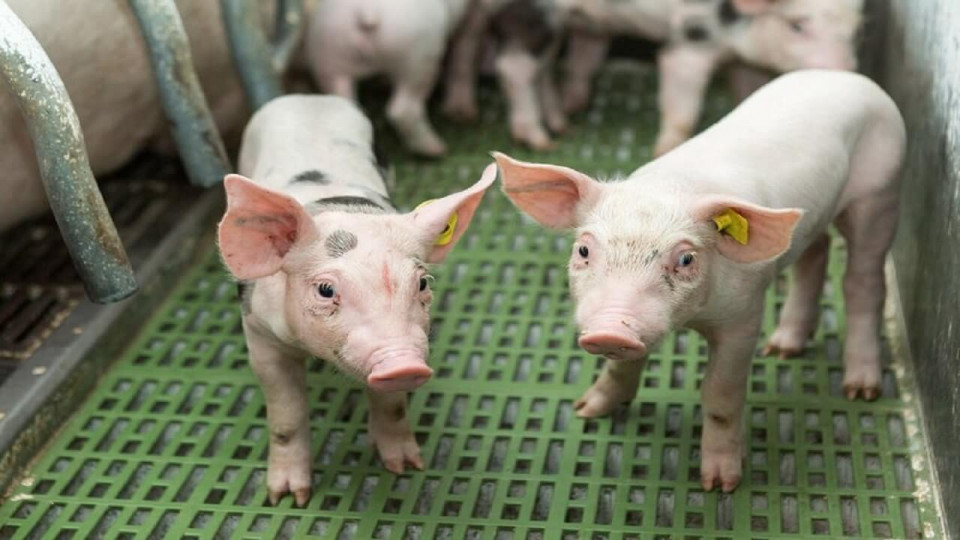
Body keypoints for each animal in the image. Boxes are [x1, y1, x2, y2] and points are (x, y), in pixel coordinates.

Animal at [217, 94, 495, 506]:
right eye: (325, 290)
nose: (403, 363)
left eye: (422, 282)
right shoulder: (259, 332)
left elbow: (392, 406)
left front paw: (405, 467)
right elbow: (286, 417)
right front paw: (289, 497)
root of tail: (309, 97)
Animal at [304, 0, 470, 158]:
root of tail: (367, 10)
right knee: (403, 109)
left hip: (330, 55)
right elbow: (466, 47)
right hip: (416, 55)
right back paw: (436, 150)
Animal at [495, 70, 905, 491]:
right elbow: (622, 366)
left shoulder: (745, 315)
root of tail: (846, 76)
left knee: (863, 281)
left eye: (686, 258)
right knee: (816, 253)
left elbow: (720, 393)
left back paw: (860, 390)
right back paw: (781, 350)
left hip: (882, 192)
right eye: (583, 250)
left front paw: (720, 484)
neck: (692, 319)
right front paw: (586, 411)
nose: (610, 330)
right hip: (815, 222)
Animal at [557, 0, 864, 156]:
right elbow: (683, 109)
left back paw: (572, 109)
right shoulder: (691, 40)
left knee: (586, 53)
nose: (844, 71)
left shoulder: (742, 61)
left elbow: (748, 88)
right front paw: (664, 152)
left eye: (852, 29)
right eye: (797, 26)